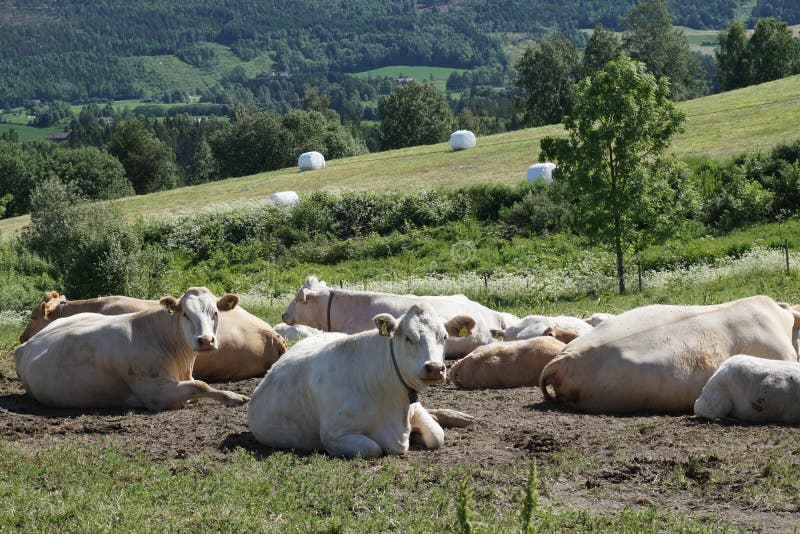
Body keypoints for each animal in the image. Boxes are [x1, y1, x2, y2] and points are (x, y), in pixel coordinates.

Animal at [14, 287, 251, 411]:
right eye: (186, 314)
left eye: (215, 313)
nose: (206, 340)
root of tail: (25, 344)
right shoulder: (155, 393)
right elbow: (199, 385)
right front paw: (234, 397)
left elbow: (199, 383)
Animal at [247, 303, 476, 458]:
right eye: (408, 338)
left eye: (444, 337)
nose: (435, 368)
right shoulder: (334, 435)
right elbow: (372, 448)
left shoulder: (415, 407)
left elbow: (437, 434)